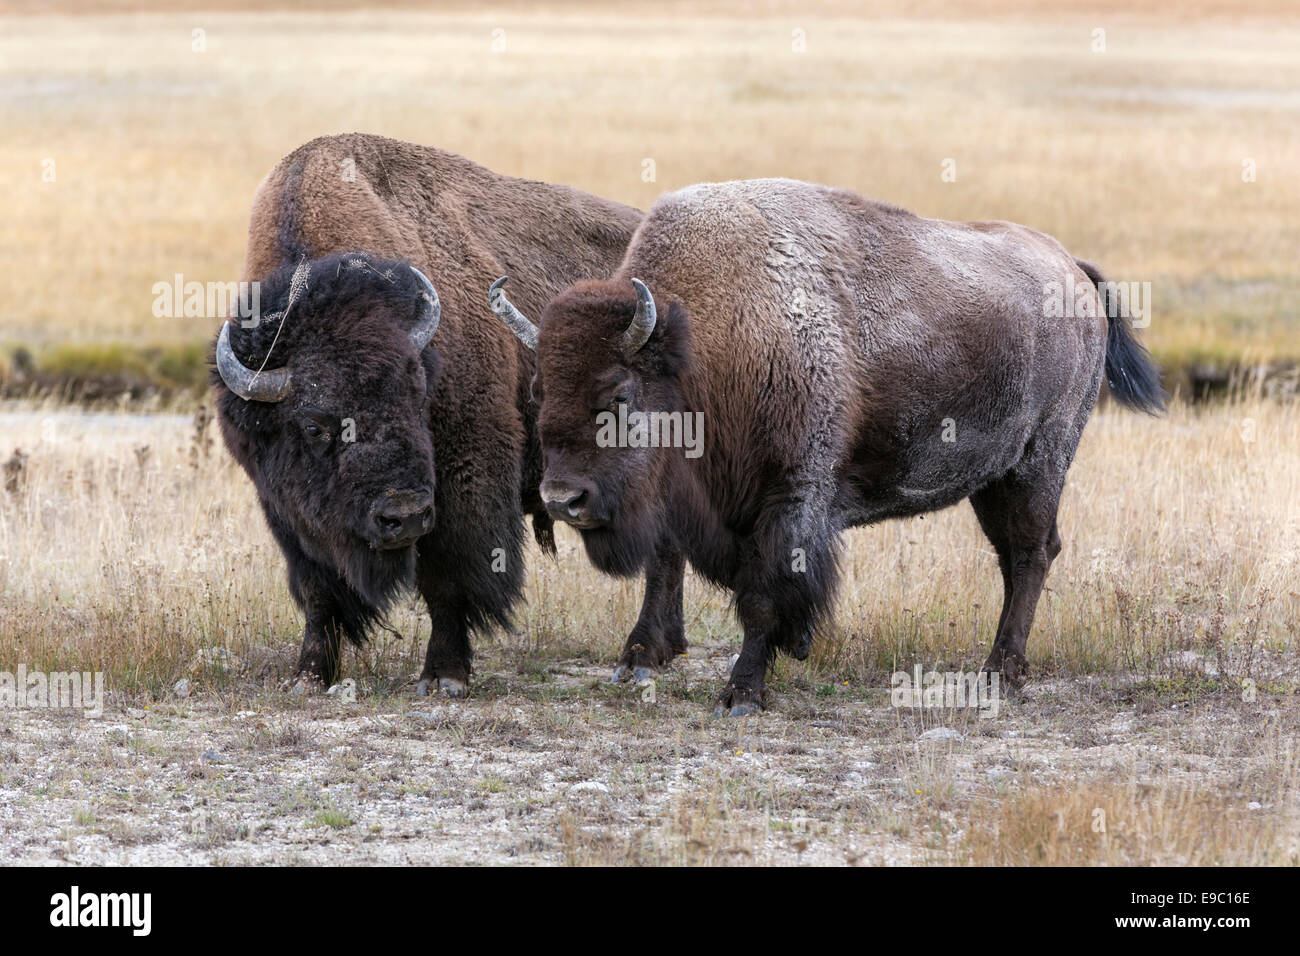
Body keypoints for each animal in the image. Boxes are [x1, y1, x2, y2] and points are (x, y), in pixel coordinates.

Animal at [214, 133, 673, 696]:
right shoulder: (286, 512)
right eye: (313, 425)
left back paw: (638, 660)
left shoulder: (462, 482)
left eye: (418, 399)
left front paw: (443, 674)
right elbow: (318, 588)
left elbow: (447, 579)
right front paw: (309, 674)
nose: (403, 516)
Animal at [490, 177, 1163, 715]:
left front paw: (742, 693)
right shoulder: (679, 496)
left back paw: (998, 673)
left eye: (621, 394)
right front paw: (639, 659)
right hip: (996, 480)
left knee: (1031, 554)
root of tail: (1073, 271)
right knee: (1015, 555)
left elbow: (762, 598)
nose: (561, 498)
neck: (706, 349)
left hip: (1038, 464)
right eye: (538, 389)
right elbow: (664, 565)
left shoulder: (790, 498)